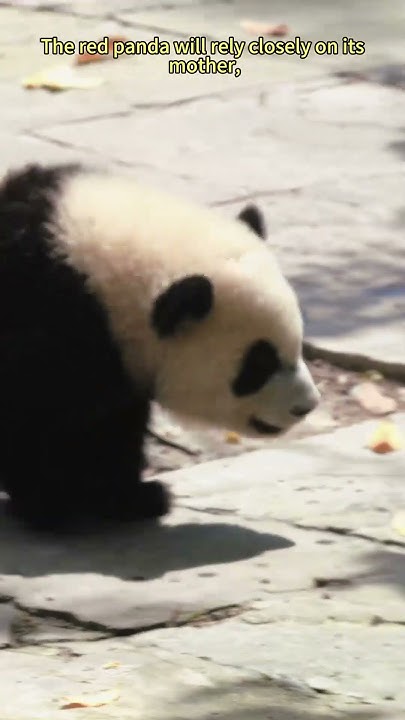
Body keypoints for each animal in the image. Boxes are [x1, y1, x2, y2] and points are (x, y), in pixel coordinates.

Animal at [0, 162, 320, 531]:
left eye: (297, 344)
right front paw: (53, 506)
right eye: (259, 364)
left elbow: (111, 424)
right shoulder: (44, 316)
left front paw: (131, 497)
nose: (306, 406)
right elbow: (31, 415)